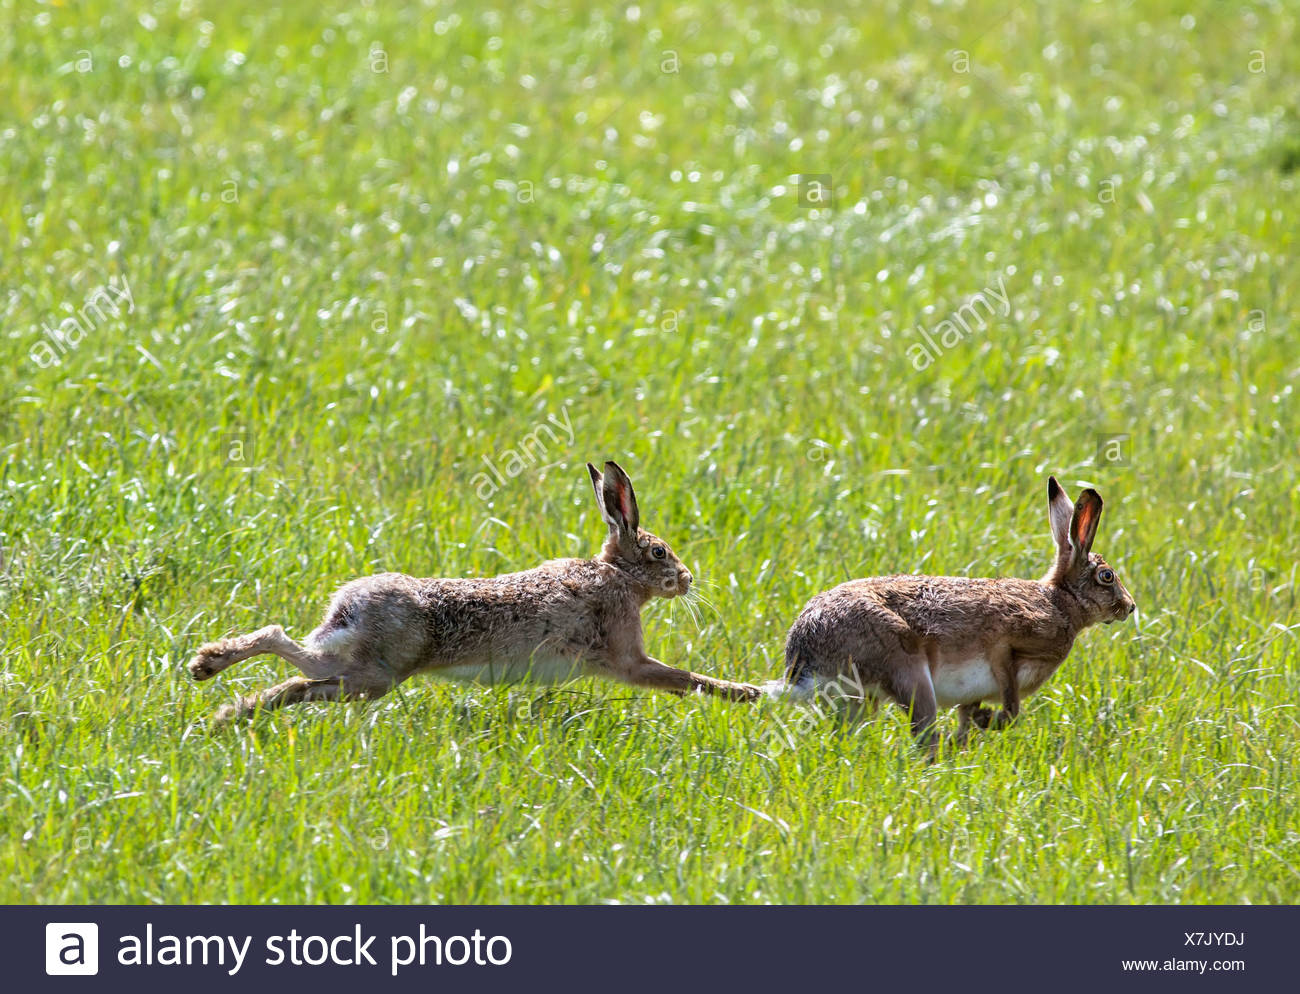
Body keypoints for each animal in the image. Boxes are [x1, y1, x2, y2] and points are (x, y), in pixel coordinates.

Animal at [188, 460, 762, 722]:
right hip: (377, 673)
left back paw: (219, 691)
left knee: (292, 662)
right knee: (299, 675)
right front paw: (749, 694)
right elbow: (682, 679)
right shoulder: (627, 660)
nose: (687, 580)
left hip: (361, 665)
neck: (617, 575)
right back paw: (223, 696)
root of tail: (349, 606)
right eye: (660, 552)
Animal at [768, 477, 1135, 754]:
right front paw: (986, 721)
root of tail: (803, 662)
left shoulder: (972, 693)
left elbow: (969, 716)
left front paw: (970, 731)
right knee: (923, 734)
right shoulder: (1006, 645)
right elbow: (1012, 709)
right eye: (1107, 576)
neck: (1061, 602)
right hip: (908, 670)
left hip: (858, 701)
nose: (1130, 607)